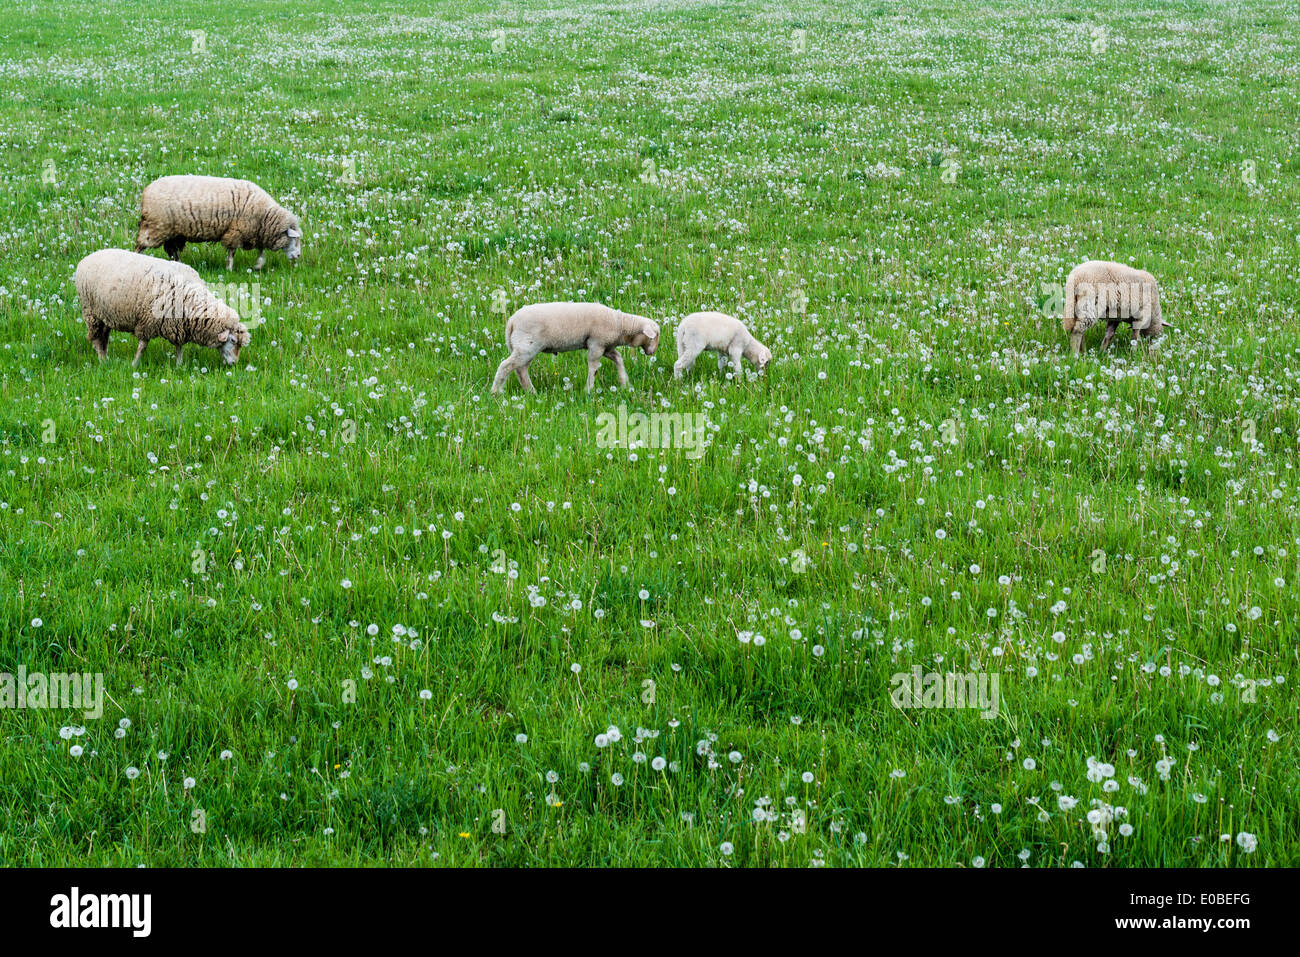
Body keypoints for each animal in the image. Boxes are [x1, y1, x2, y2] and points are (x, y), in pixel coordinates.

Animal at [74, 248, 250, 367]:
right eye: (233, 340)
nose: (234, 364)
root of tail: (88, 257)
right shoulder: (147, 321)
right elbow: (142, 346)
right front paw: (134, 364)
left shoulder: (179, 325)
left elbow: (179, 346)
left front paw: (179, 365)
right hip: (91, 312)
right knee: (97, 338)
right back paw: (102, 360)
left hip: (104, 314)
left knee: (104, 337)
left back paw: (106, 357)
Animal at [135, 175, 302, 271]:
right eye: (294, 239)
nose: (298, 256)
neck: (266, 215)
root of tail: (146, 191)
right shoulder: (237, 231)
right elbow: (232, 252)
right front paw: (229, 269)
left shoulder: (255, 232)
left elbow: (261, 251)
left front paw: (258, 265)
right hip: (156, 226)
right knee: (141, 245)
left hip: (173, 232)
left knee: (172, 250)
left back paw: (179, 264)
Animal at [490, 302, 660, 394]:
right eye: (656, 335)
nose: (652, 352)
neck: (620, 324)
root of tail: (511, 321)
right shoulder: (596, 344)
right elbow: (593, 366)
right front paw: (589, 389)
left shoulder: (606, 347)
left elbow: (618, 359)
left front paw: (624, 383)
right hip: (527, 346)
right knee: (506, 366)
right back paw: (496, 392)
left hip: (525, 347)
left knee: (521, 369)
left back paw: (531, 392)